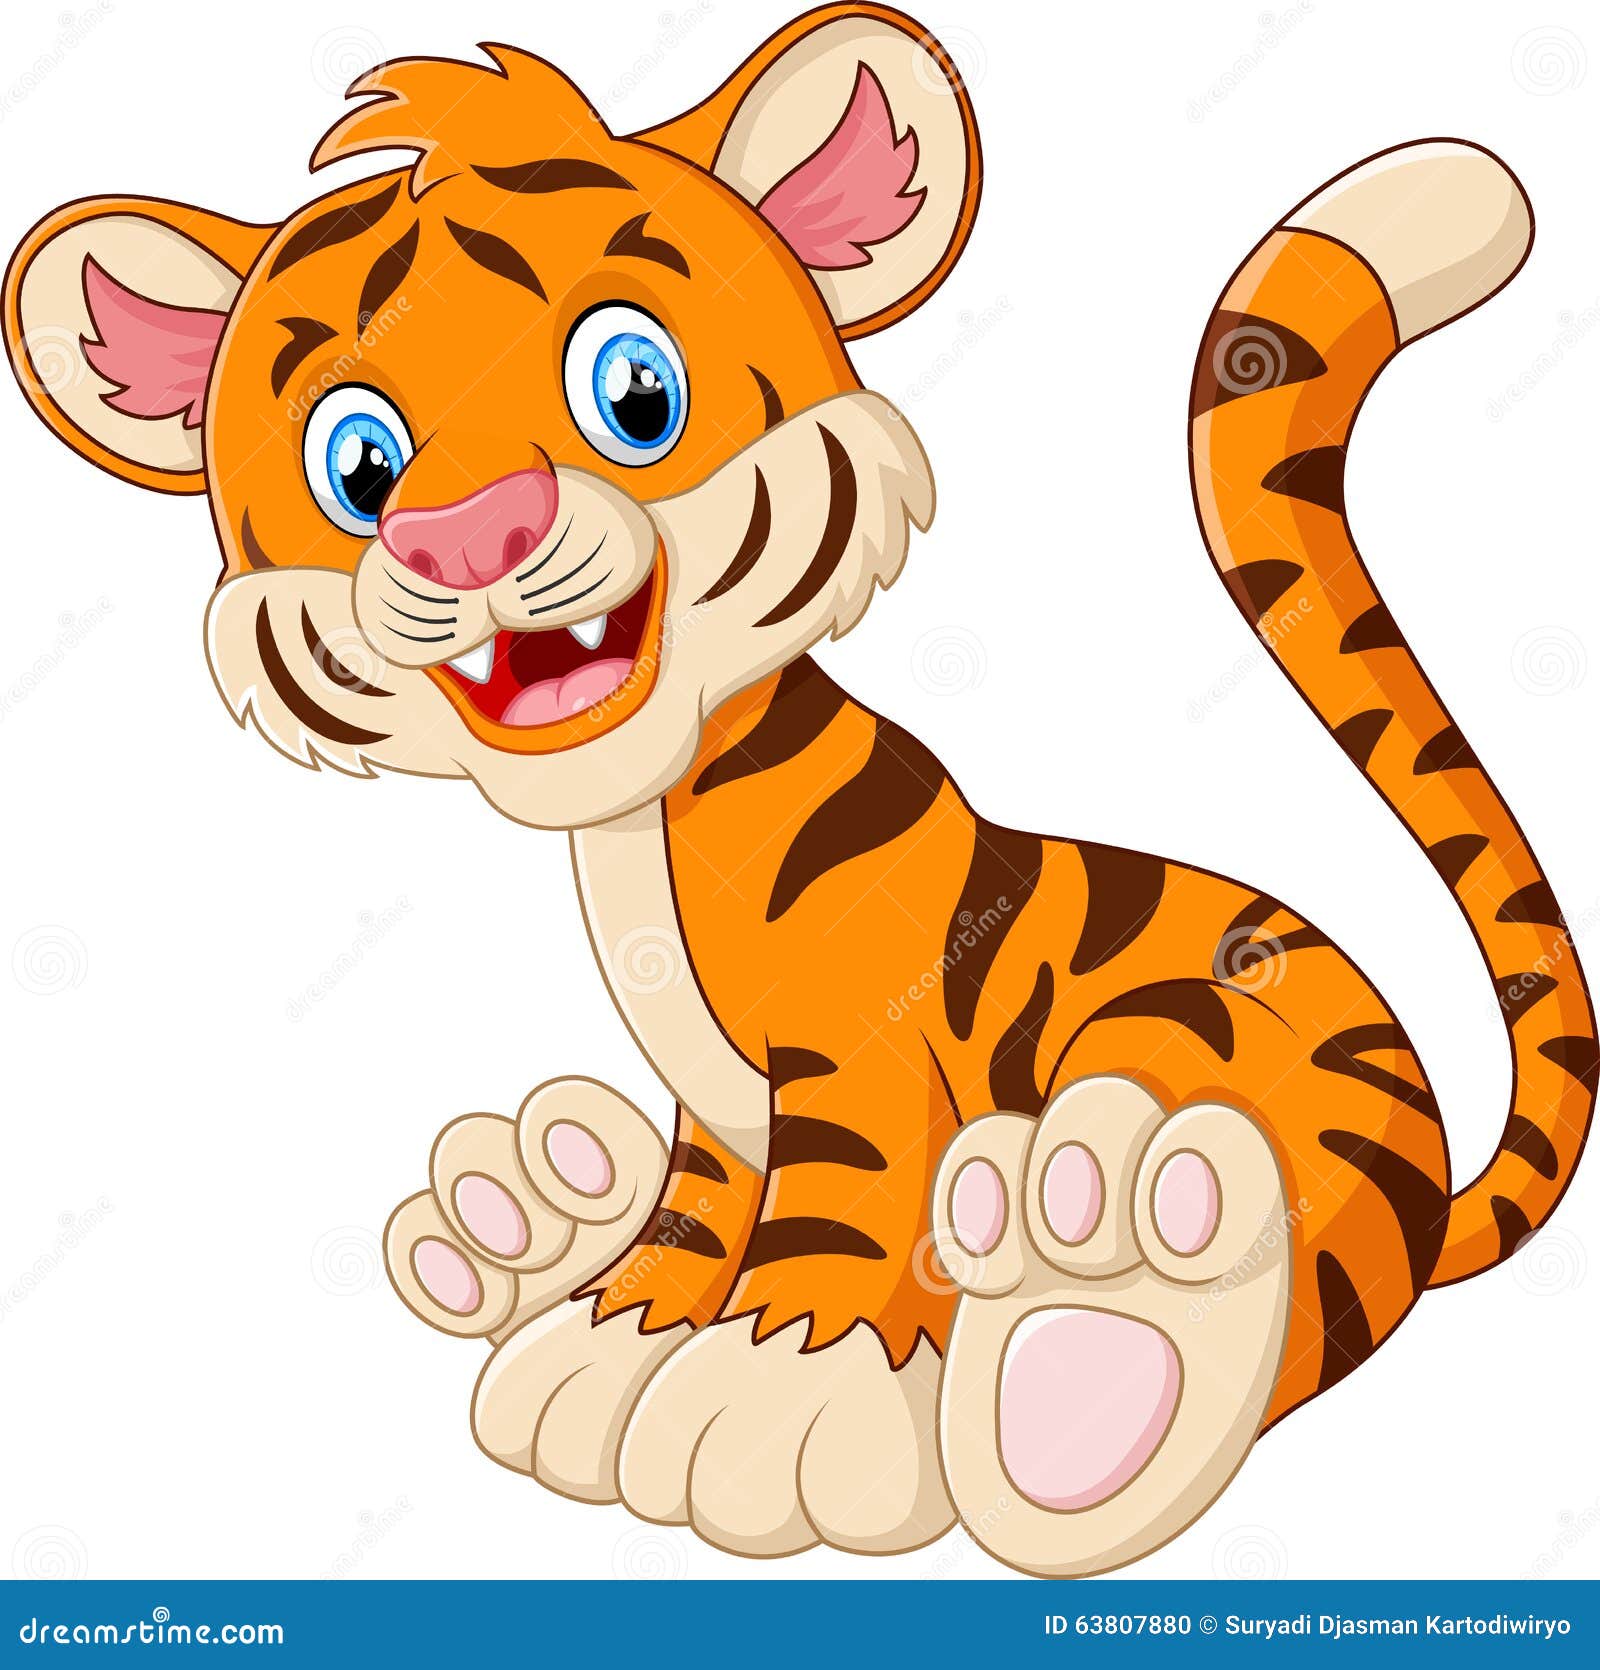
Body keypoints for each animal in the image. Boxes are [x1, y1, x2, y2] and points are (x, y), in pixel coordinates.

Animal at [4, 5, 1591, 1578]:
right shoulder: (712, 1114)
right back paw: (531, 1208)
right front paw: (613, 1338)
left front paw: (771, 1394)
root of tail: (1432, 1163)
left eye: (634, 391)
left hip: (1201, 1045)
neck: (637, 820)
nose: (465, 534)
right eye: (358, 461)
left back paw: (1100, 1328)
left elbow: (835, 1215)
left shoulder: (855, 1047)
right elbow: (695, 1218)